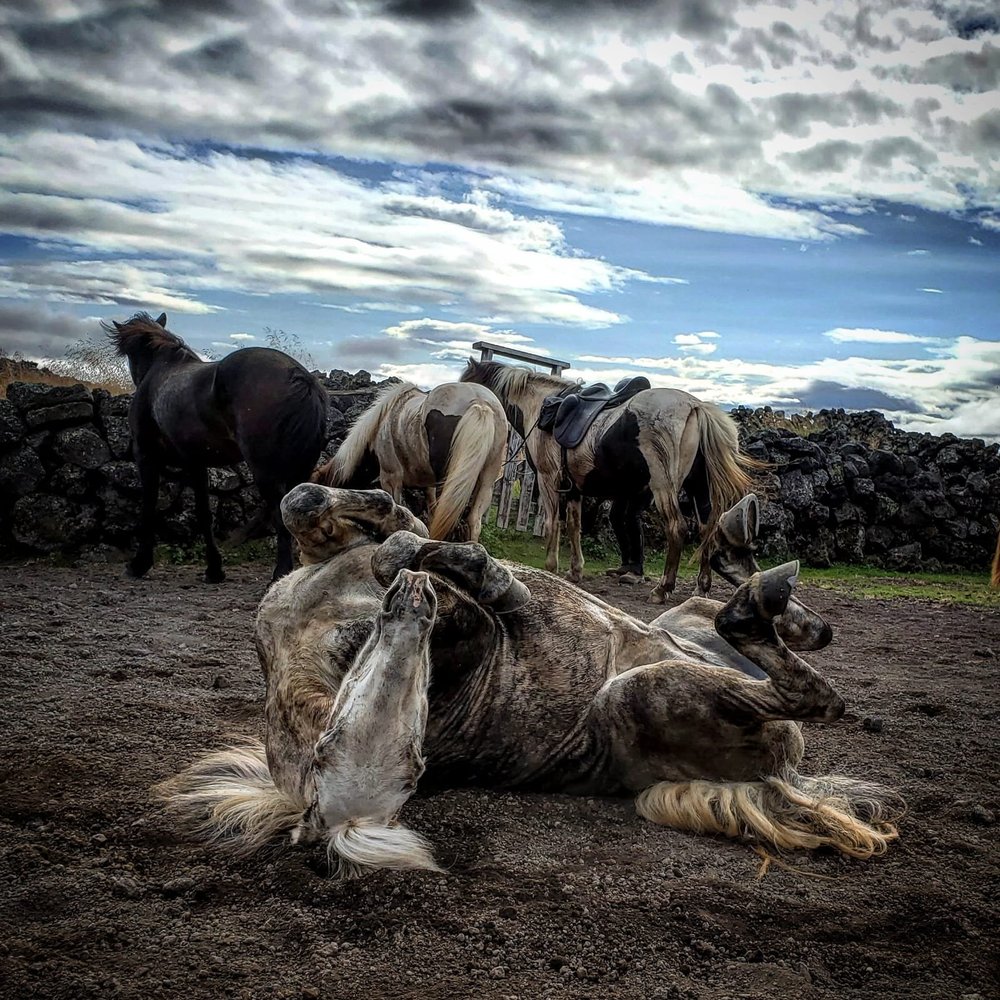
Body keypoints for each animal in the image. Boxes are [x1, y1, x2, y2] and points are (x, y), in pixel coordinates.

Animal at [106, 312, 327, 583]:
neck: (162, 372)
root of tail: (298, 374)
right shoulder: (196, 463)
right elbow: (204, 514)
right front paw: (214, 569)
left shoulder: (146, 456)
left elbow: (149, 508)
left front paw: (139, 564)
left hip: (265, 471)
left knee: (279, 512)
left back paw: (281, 573)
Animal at [159, 486, 903, 876]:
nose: (434, 606)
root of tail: (782, 773)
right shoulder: (329, 765)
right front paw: (455, 573)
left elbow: (355, 522)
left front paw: (408, 538)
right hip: (643, 692)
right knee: (811, 692)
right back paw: (755, 599)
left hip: (686, 631)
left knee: (758, 623)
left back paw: (763, 575)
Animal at [313, 380, 507, 542]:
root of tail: (480, 403)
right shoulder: (429, 484)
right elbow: (432, 509)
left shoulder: (390, 479)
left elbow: (398, 511)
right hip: (486, 483)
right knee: (473, 521)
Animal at [460, 358, 758, 603]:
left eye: (466, 382)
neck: (541, 405)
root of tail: (696, 407)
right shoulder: (573, 488)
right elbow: (574, 525)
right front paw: (575, 571)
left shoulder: (548, 480)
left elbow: (552, 524)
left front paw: (551, 568)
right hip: (699, 489)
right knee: (708, 529)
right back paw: (702, 586)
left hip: (664, 487)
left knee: (677, 529)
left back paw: (662, 589)